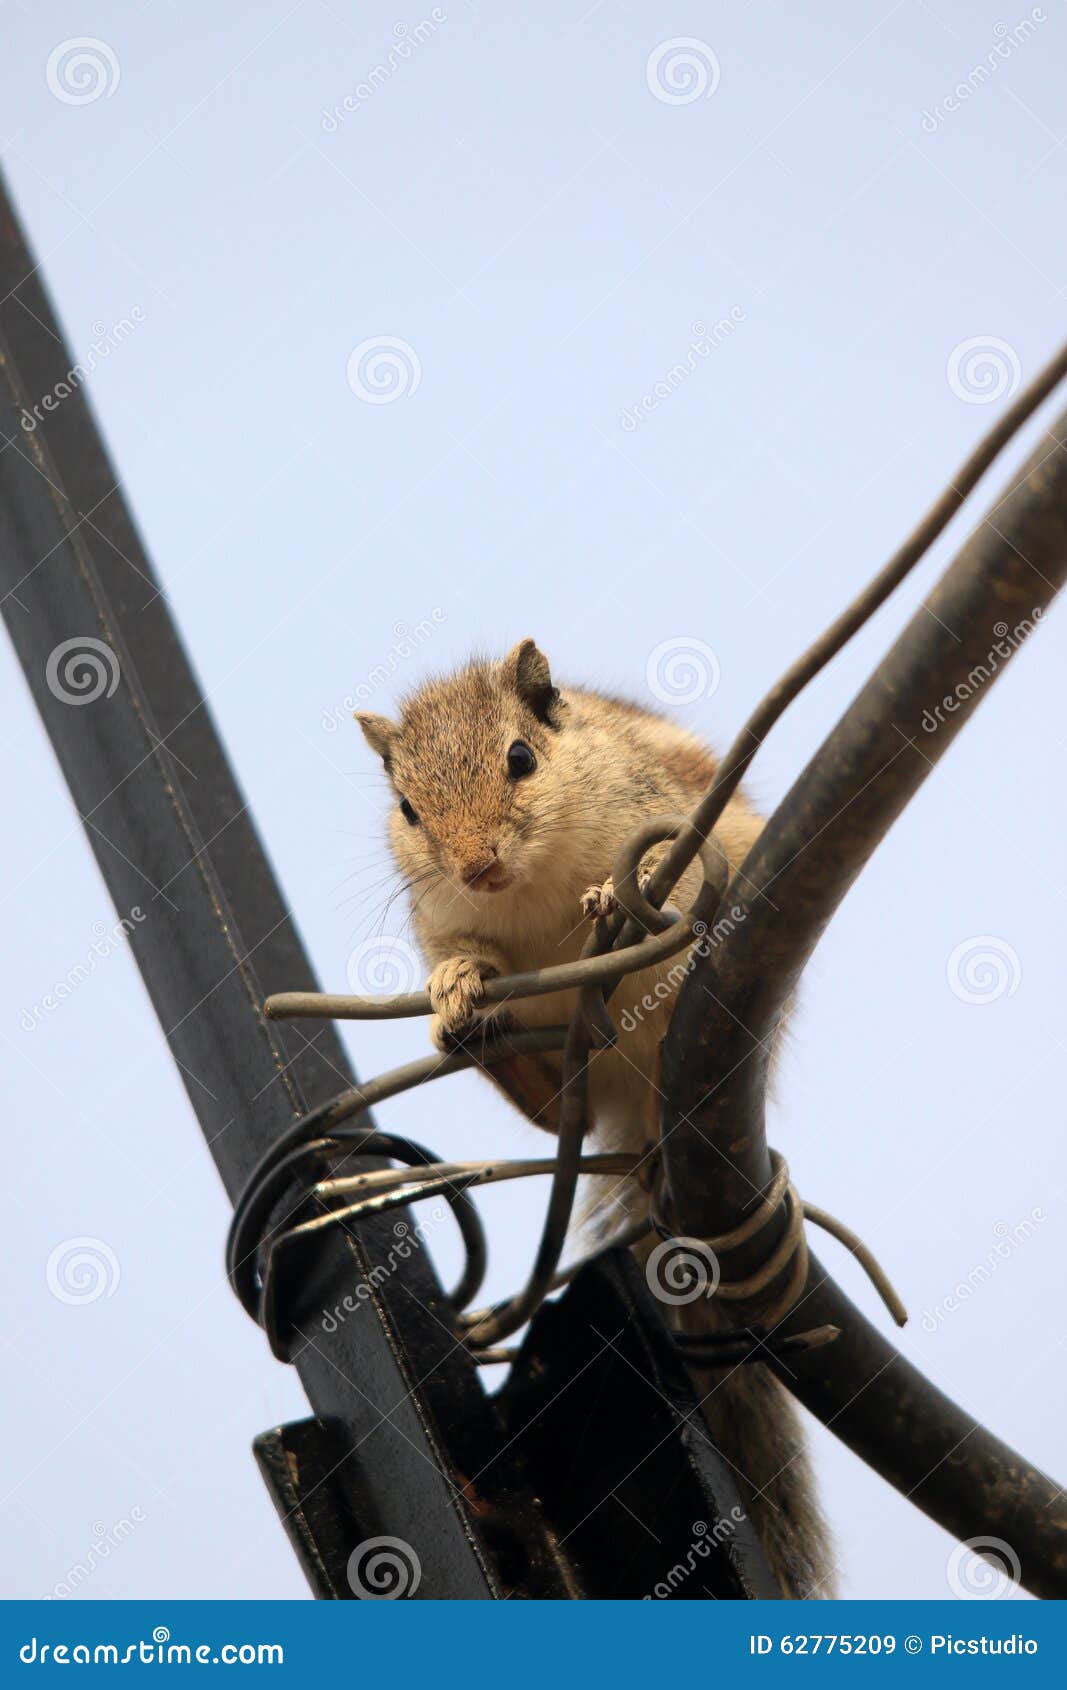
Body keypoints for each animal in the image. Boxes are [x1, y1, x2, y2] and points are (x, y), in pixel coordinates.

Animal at [356, 638, 833, 1599]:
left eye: (519, 758)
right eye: (407, 809)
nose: (476, 866)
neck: (530, 887)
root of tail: (631, 1110)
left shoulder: (663, 810)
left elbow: (664, 871)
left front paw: (617, 896)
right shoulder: (445, 918)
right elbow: (465, 954)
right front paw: (454, 984)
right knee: (548, 1116)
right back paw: (484, 1035)